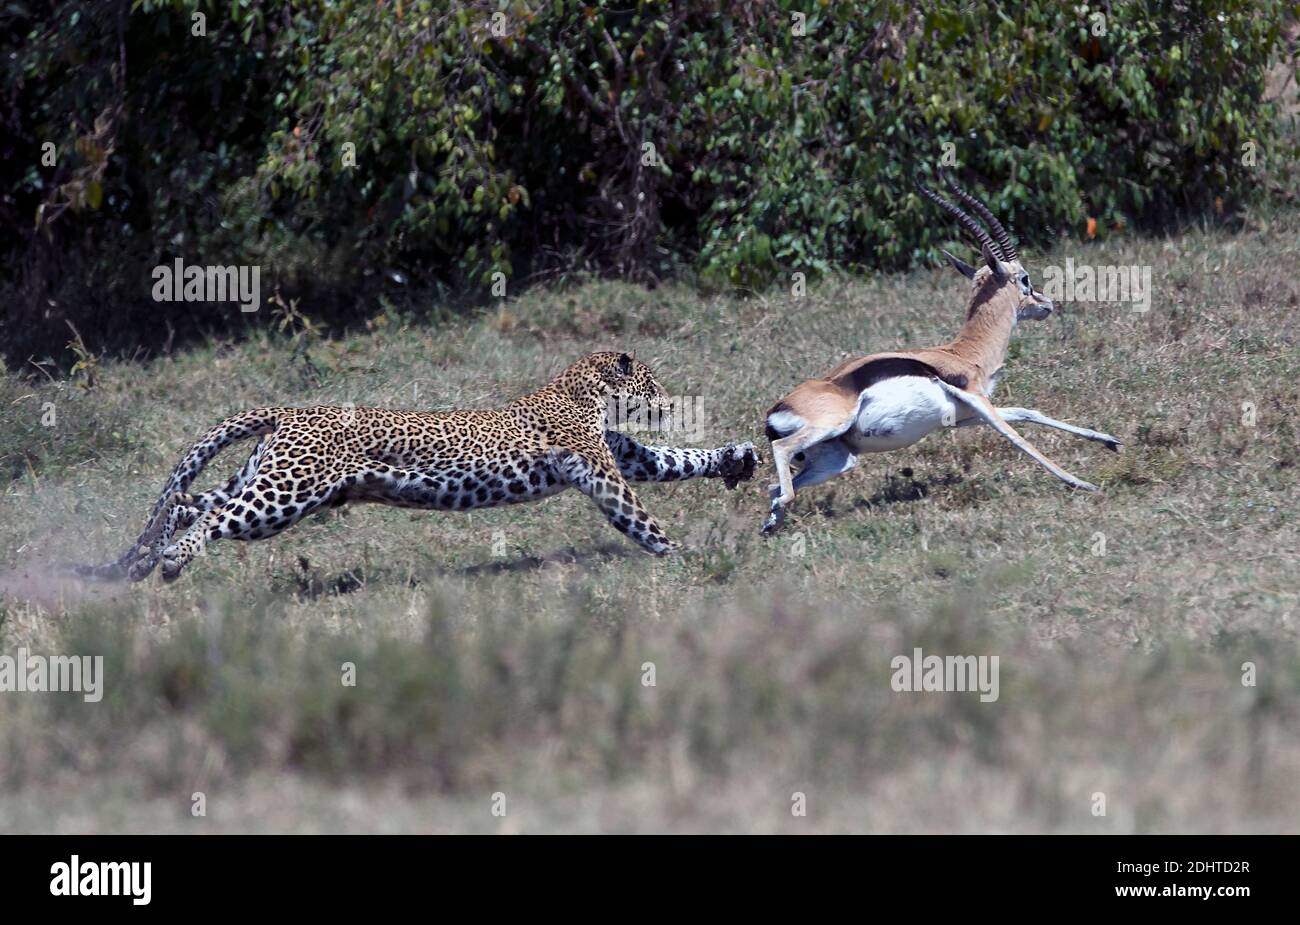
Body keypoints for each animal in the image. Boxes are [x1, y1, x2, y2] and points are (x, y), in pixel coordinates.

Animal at [73, 352, 759, 583]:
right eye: (651, 382)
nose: (668, 401)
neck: (583, 390)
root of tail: (292, 408)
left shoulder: (622, 455)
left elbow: (672, 461)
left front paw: (735, 457)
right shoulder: (602, 471)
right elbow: (640, 516)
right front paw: (686, 557)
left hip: (273, 482)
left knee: (189, 501)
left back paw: (142, 561)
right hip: (287, 492)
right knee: (203, 516)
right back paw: (170, 561)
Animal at [760, 173, 1121, 534]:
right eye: (1024, 278)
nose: (1047, 303)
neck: (965, 354)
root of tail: (775, 413)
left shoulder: (964, 416)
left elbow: (1026, 412)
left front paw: (1109, 440)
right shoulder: (976, 398)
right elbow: (1017, 437)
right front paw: (1083, 483)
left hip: (837, 457)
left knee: (776, 487)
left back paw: (771, 525)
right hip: (830, 427)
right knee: (780, 457)